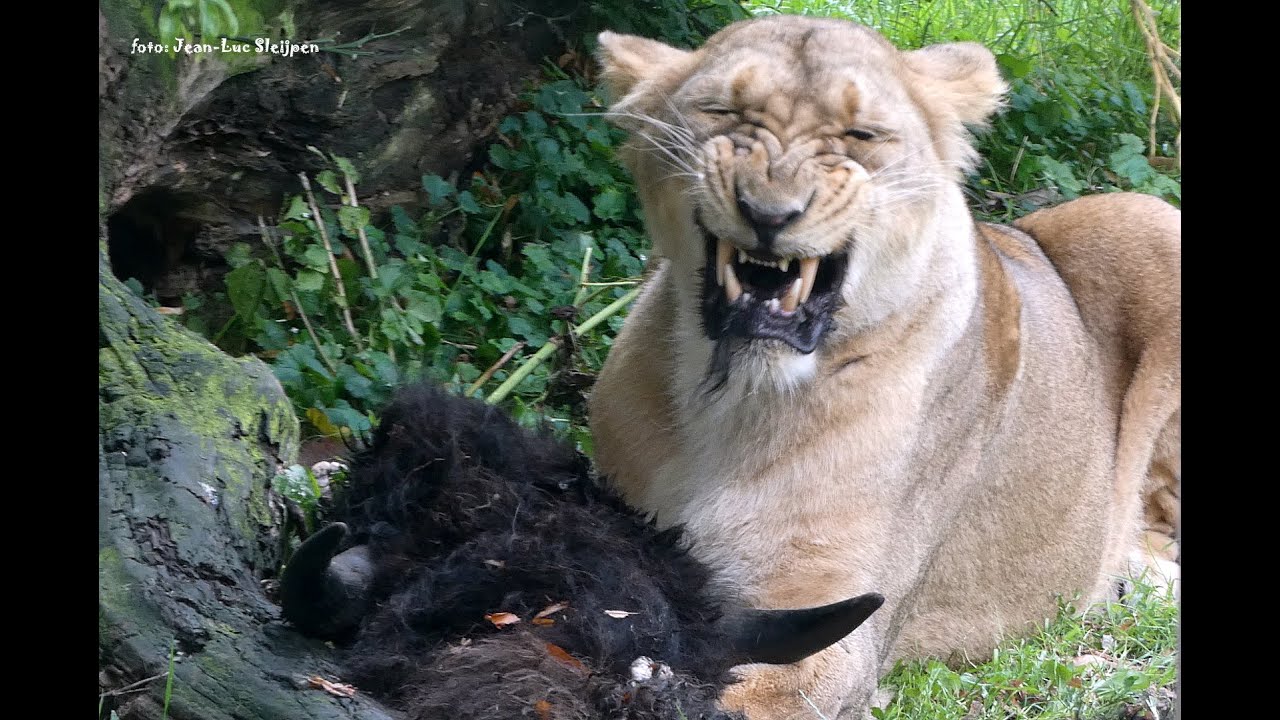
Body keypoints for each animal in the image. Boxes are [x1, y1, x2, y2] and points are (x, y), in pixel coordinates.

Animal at [587, 15, 1180, 720]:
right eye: (722, 111)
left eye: (861, 135)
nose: (769, 212)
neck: (728, 400)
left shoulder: (837, 622)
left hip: (1150, 218)